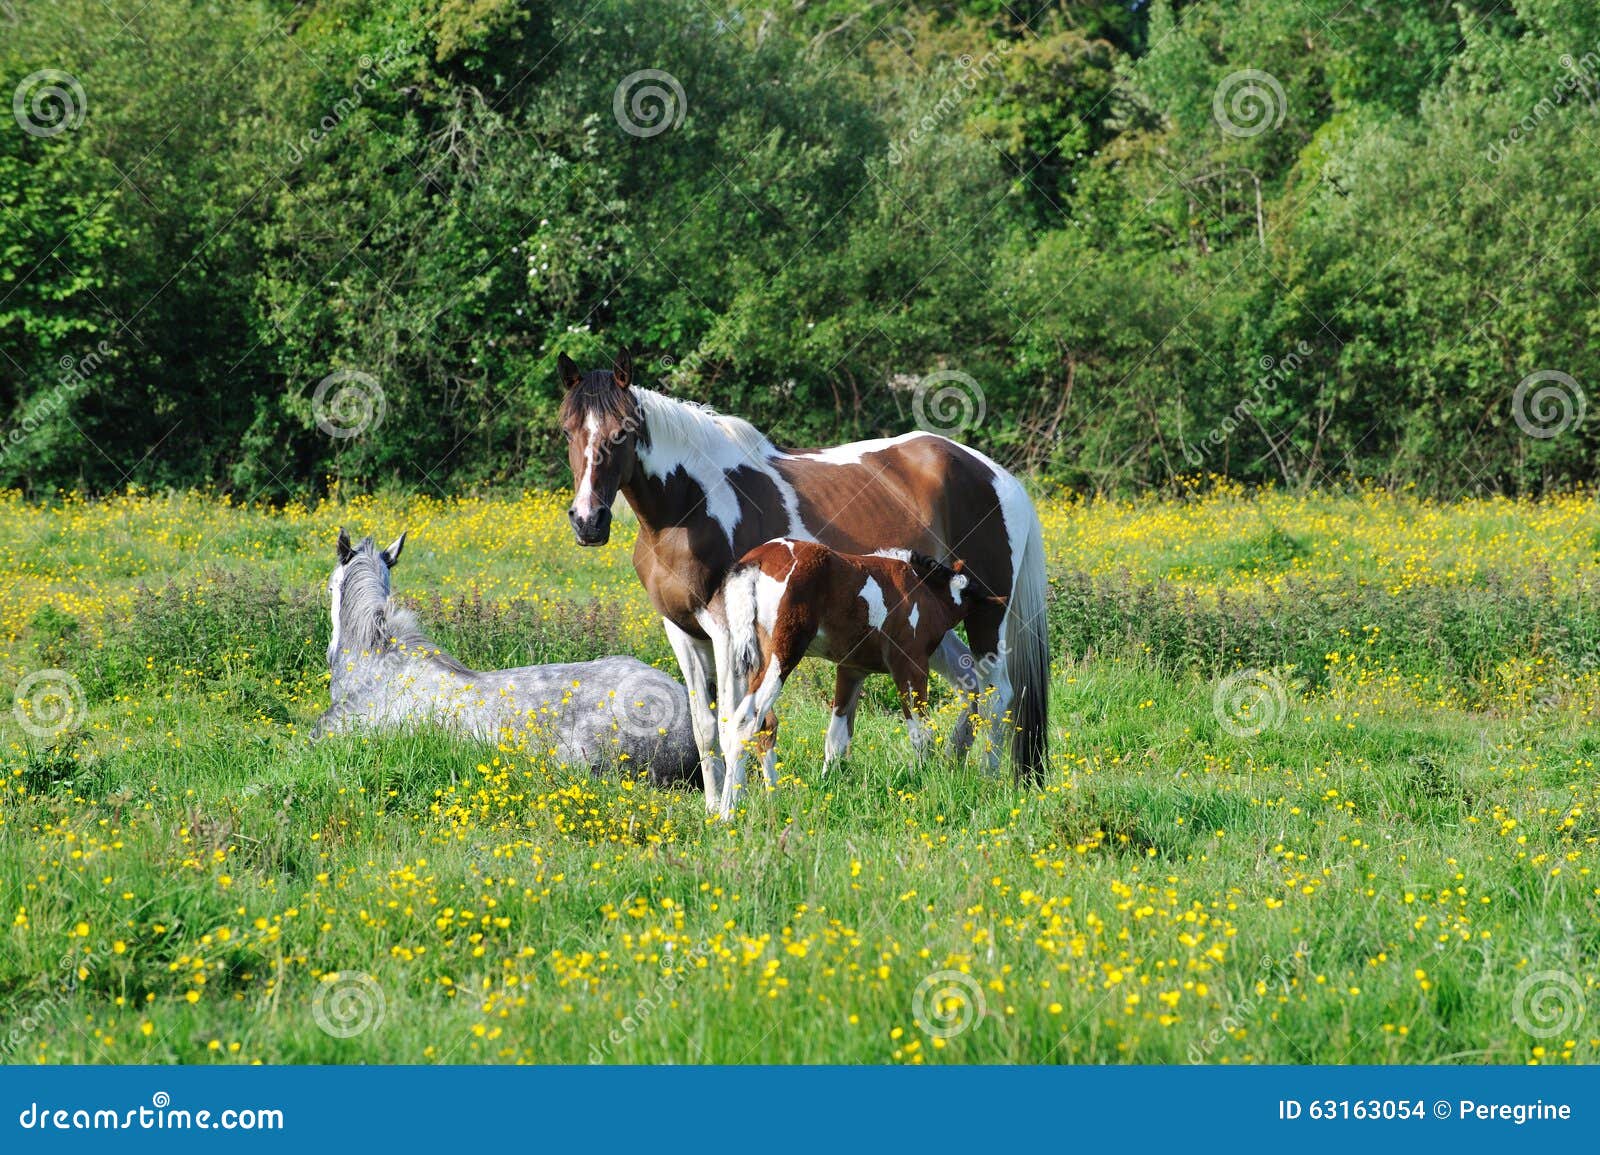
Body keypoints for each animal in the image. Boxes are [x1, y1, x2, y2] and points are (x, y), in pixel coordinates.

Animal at [716, 540, 1007, 808]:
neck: (920, 590)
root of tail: (758, 561)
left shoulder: (852, 670)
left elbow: (836, 737)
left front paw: (828, 788)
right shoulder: (910, 666)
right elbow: (921, 733)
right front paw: (927, 780)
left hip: (740, 663)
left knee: (754, 725)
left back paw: (766, 800)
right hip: (782, 656)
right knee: (746, 722)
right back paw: (728, 811)